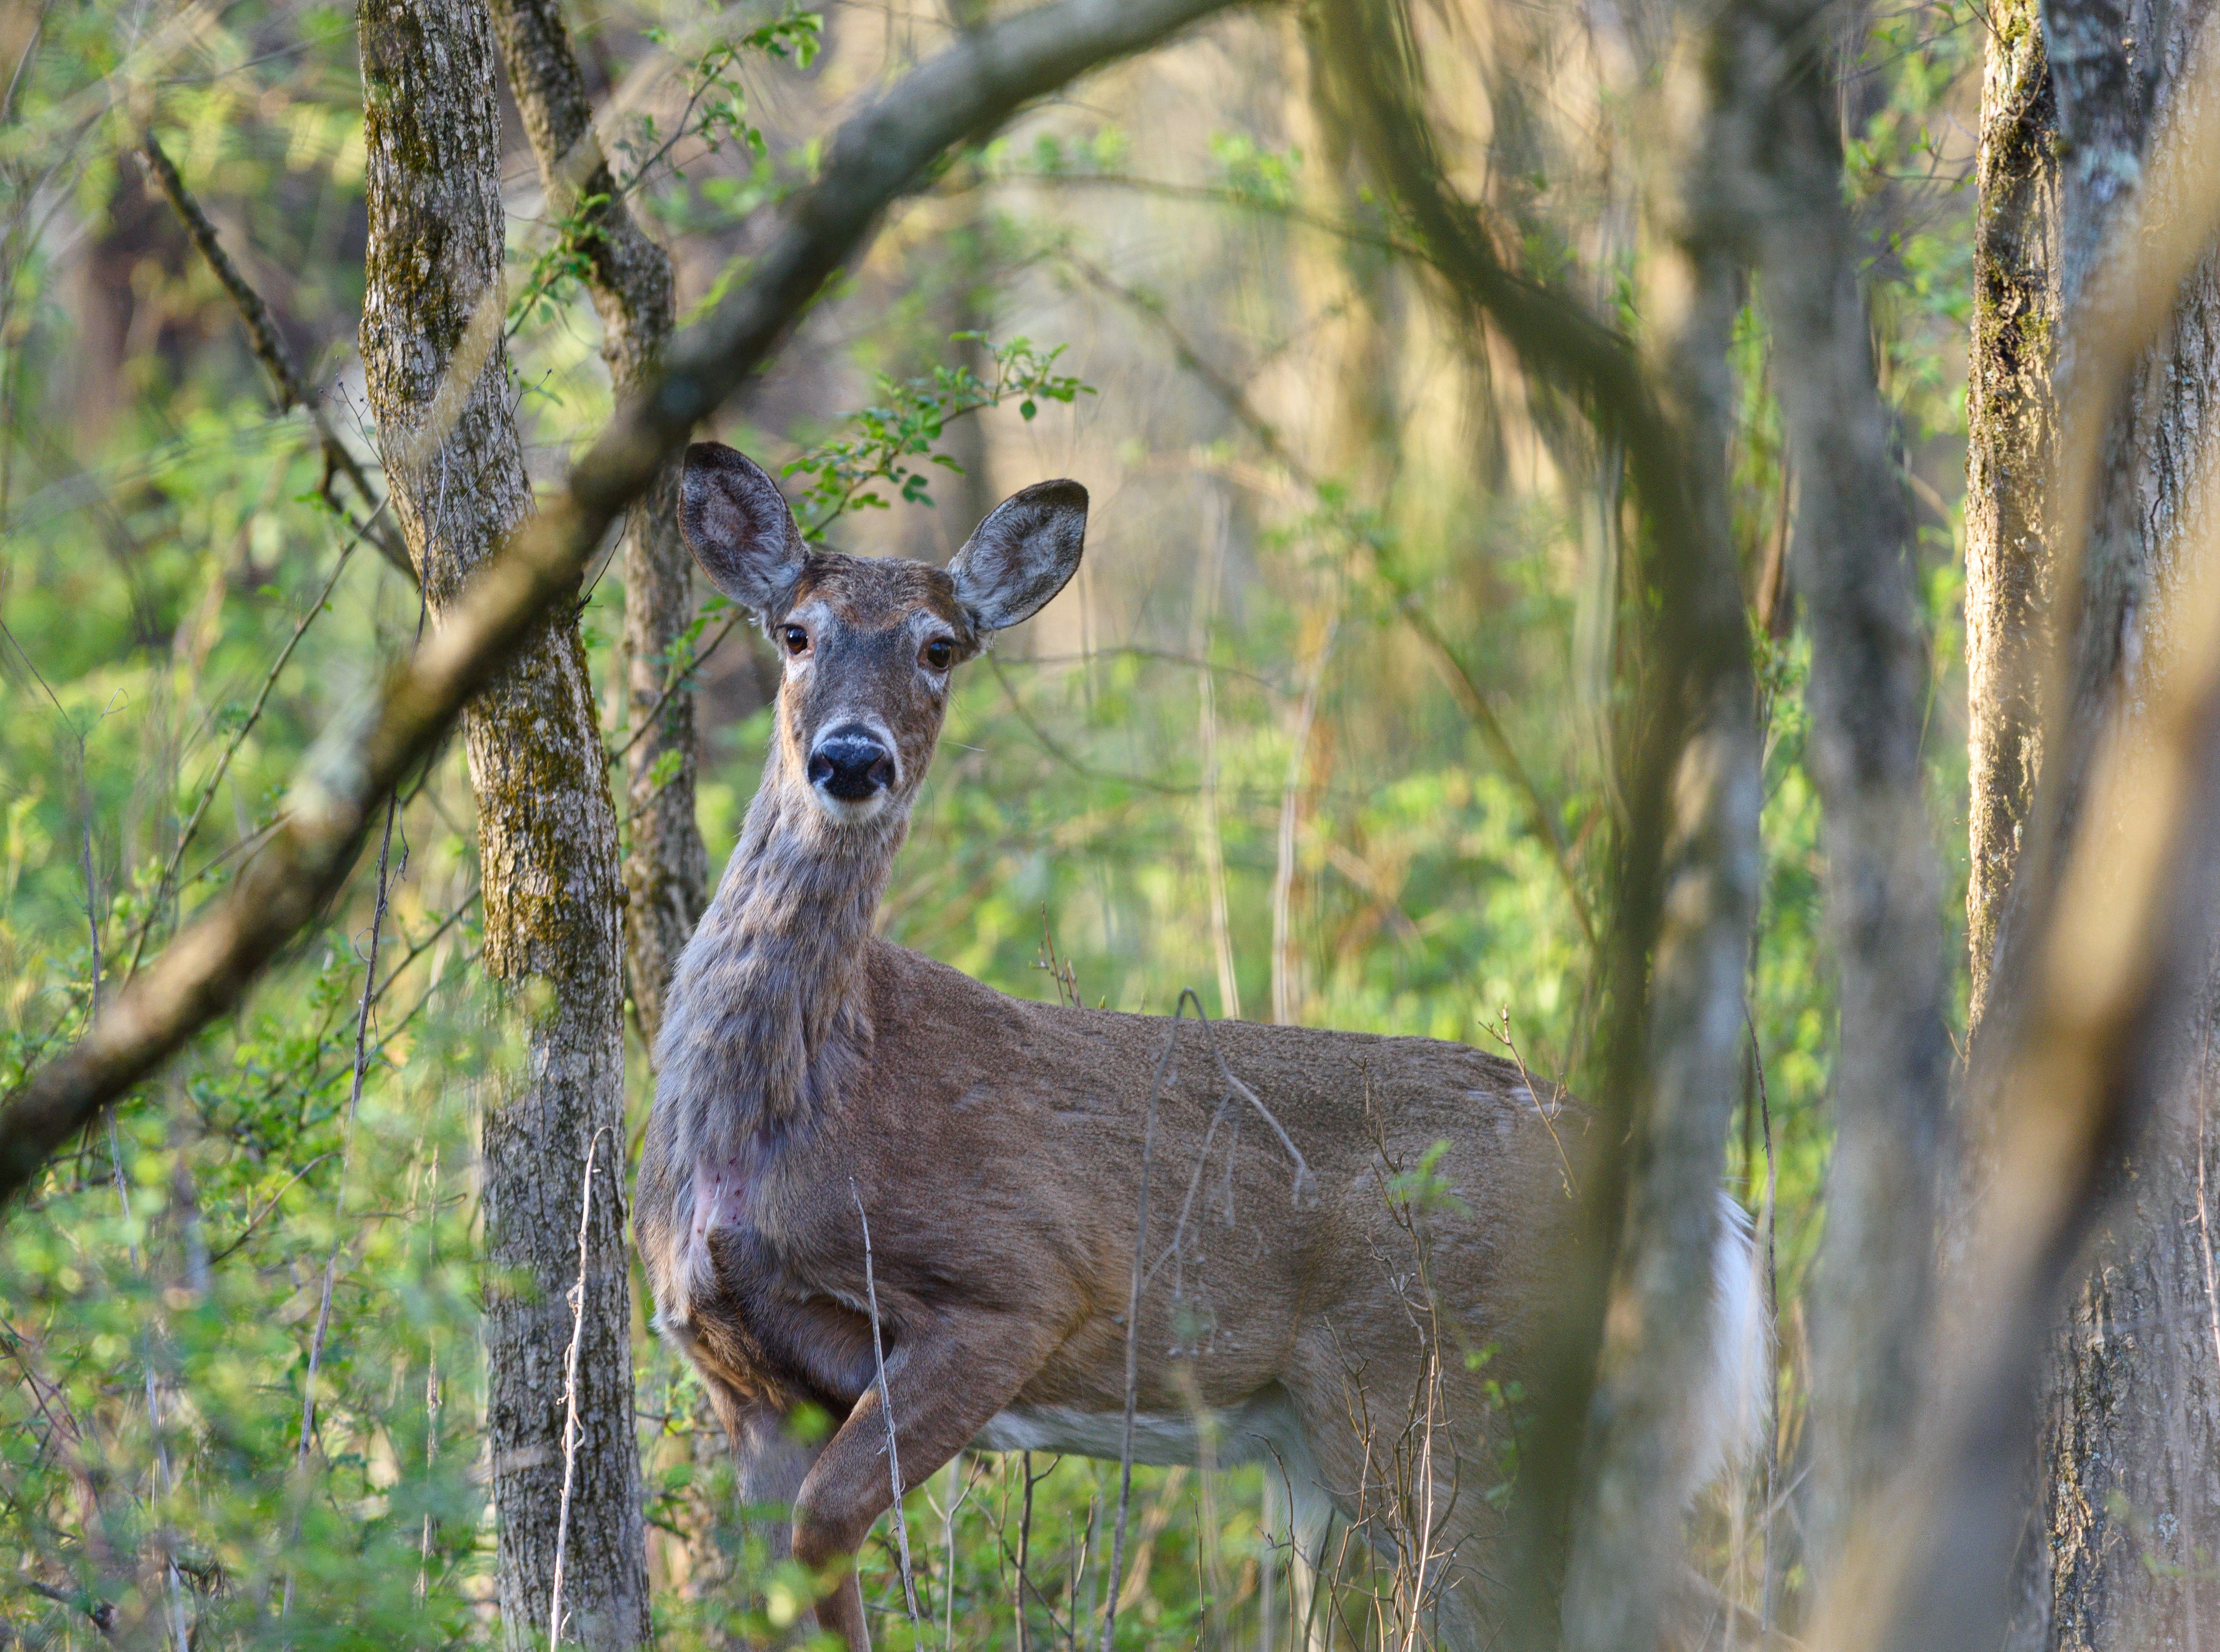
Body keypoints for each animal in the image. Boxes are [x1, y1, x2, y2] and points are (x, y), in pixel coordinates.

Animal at [635, 441, 1768, 1651]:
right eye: (795, 631)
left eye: (940, 646)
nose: (851, 758)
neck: (793, 1109)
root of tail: (1714, 1220)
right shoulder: (741, 1374)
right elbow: (787, 1584)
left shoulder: (1017, 1287)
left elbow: (826, 1523)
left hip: (1448, 1397)